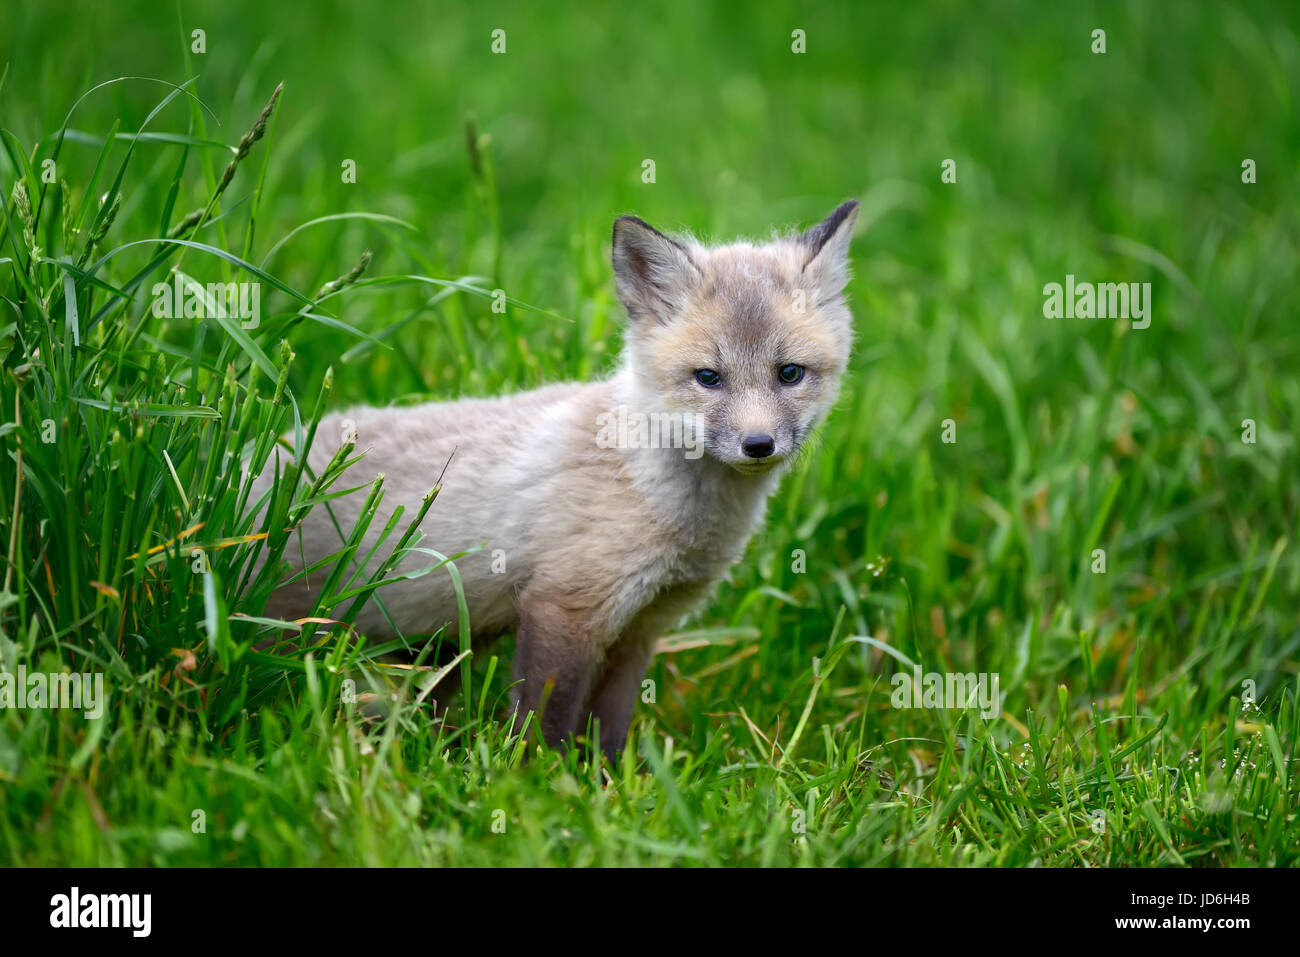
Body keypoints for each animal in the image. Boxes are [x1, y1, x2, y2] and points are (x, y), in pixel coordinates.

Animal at [257, 199, 860, 760]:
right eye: (708, 378)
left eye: (789, 373)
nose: (758, 445)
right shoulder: (565, 606)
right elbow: (542, 720)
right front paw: (535, 781)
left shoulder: (641, 626)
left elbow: (610, 724)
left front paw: (610, 782)